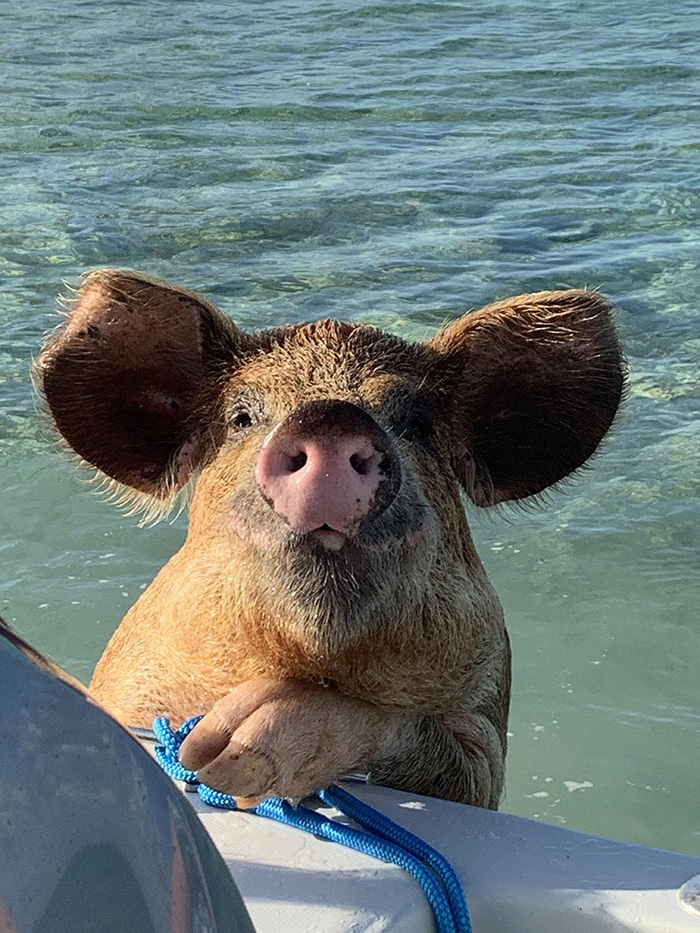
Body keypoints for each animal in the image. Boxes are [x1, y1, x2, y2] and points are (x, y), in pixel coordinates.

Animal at [38, 269, 623, 809]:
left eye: (418, 422)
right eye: (241, 417)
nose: (330, 418)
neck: (312, 662)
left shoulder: (485, 716)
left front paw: (229, 750)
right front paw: (203, 752)